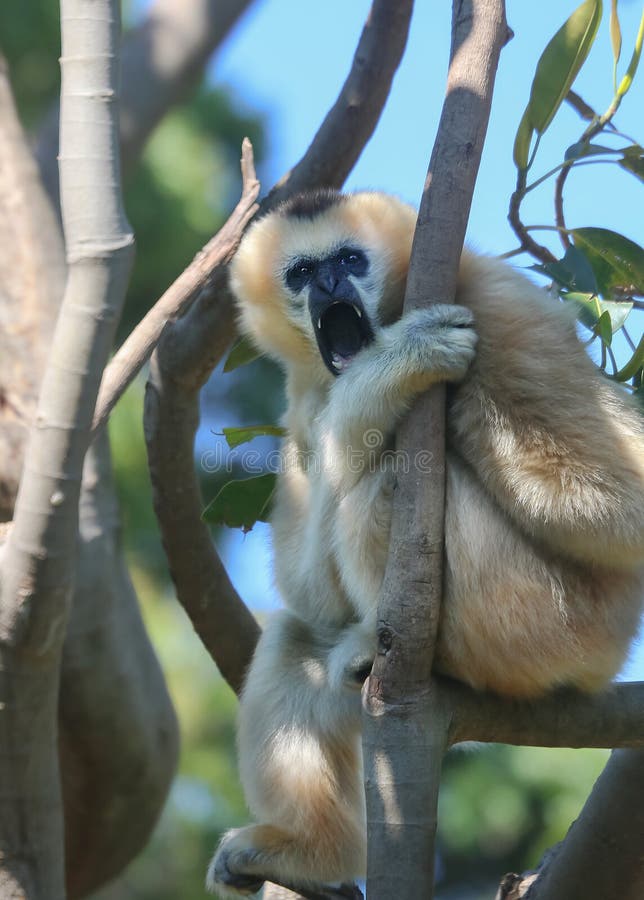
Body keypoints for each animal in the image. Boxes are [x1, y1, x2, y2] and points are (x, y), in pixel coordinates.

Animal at [207, 189, 644, 897]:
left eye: (350, 260)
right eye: (303, 272)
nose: (330, 285)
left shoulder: (500, 304)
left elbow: (616, 504)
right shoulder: (303, 393)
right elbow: (307, 589)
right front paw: (385, 379)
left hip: (550, 623)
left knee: (390, 481)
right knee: (296, 633)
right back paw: (307, 853)